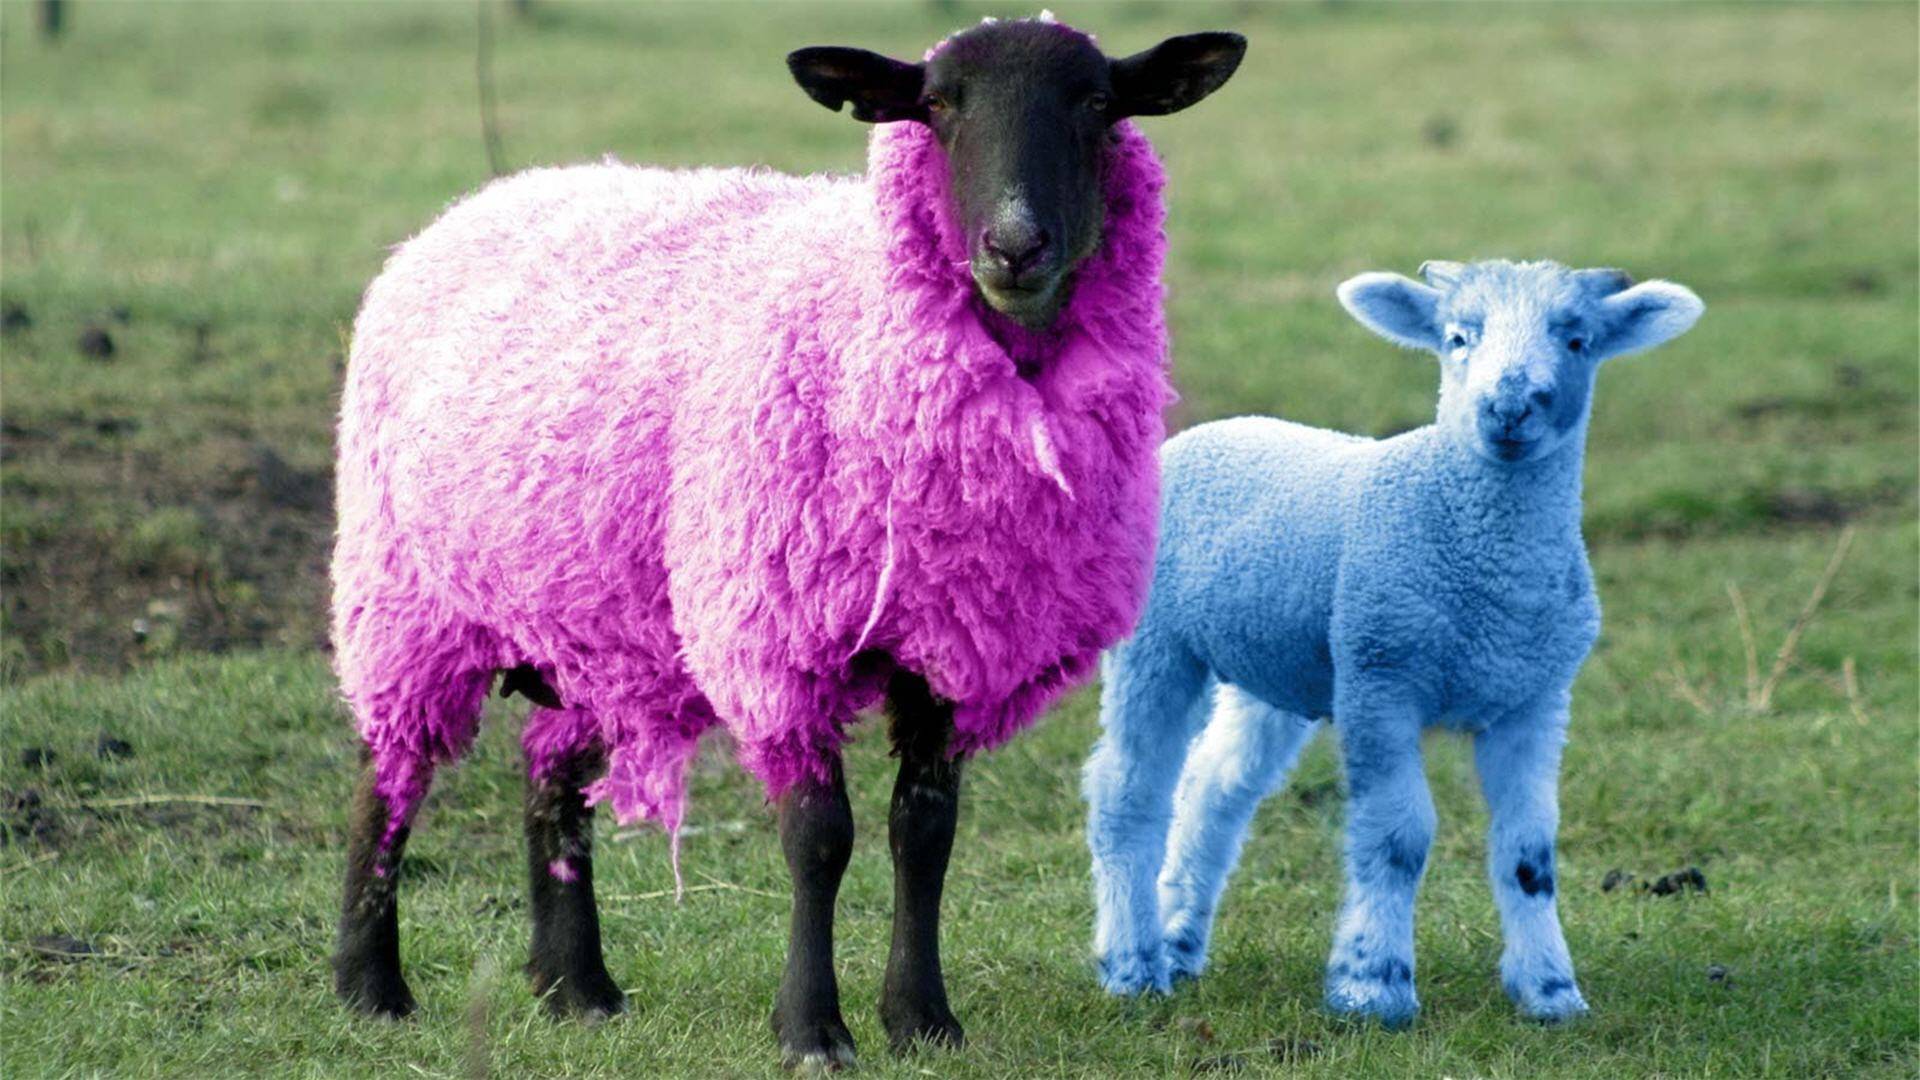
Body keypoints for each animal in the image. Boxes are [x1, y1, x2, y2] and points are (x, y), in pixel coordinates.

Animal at [328, 14, 1246, 1068]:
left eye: (1098, 103)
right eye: (936, 105)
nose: (1016, 247)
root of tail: (480, 201)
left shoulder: (955, 640)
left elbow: (924, 833)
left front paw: (923, 1019)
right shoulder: (783, 638)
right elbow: (819, 837)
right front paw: (813, 1029)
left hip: (597, 613)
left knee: (548, 777)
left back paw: (576, 988)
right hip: (403, 592)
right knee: (389, 777)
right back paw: (370, 985)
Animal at [1083, 259, 1703, 1027]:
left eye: (1578, 340)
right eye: (1458, 338)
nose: (1508, 408)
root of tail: (1204, 432)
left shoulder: (1533, 698)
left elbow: (1529, 851)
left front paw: (1551, 990)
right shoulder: (1382, 676)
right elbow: (1397, 836)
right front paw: (1372, 985)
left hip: (1278, 662)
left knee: (1214, 786)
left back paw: (1178, 939)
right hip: (1156, 642)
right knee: (1128, 788)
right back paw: (1132, 964)